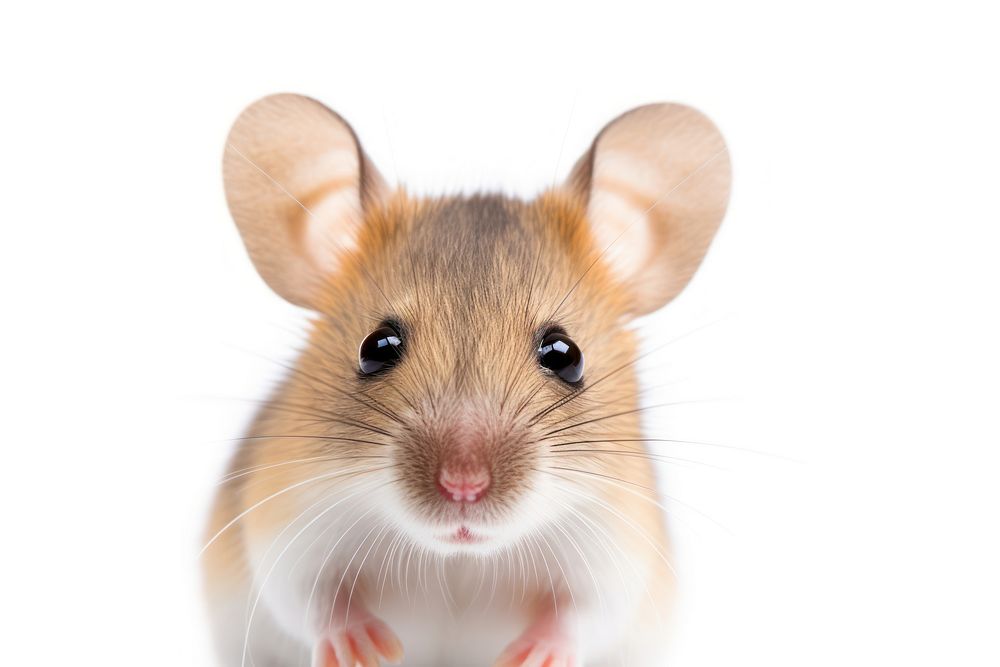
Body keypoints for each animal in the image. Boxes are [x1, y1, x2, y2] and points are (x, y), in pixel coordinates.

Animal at [202, 93, 731, 667]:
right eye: (375, 348)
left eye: (566, 355)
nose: (463, 486)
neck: (457, 555)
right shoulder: (286, 524)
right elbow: (313, 598)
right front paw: (369, 648)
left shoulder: (616, 550)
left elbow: (580, 617)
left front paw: (528, 657)